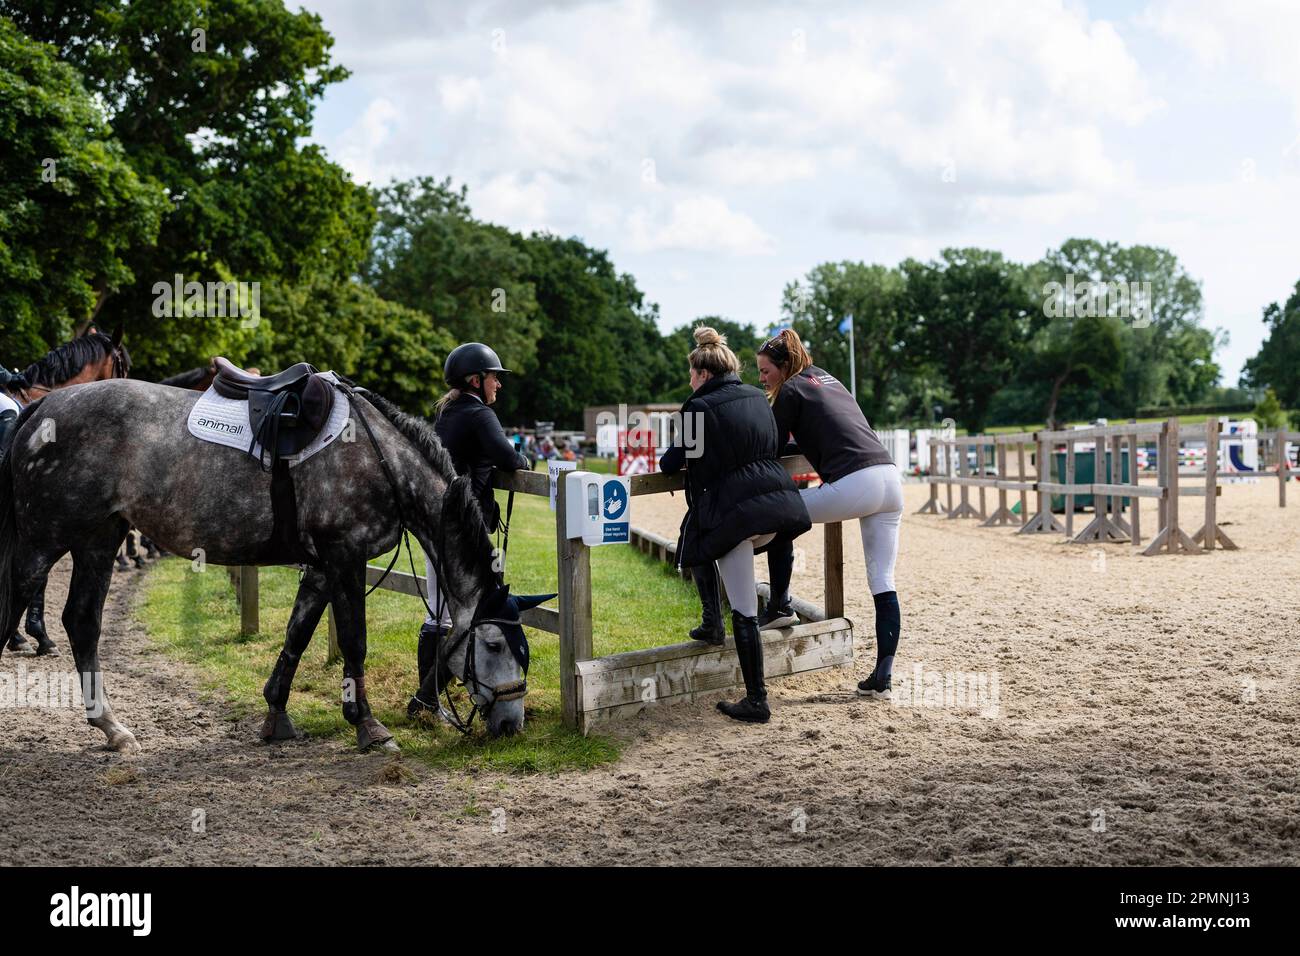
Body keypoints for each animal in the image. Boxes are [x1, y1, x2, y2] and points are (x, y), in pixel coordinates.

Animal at [0, 374, 549, 752]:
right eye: (495, 644)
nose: (511, 724)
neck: (379, 458)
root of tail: (45, 405)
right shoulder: (345, 558)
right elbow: (354, 642)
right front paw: (368, 725)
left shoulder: (323, 567)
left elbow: (296, 635)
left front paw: (276, 714)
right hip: (43, 542)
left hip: (98, 539)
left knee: (82, 621)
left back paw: (112, 728)